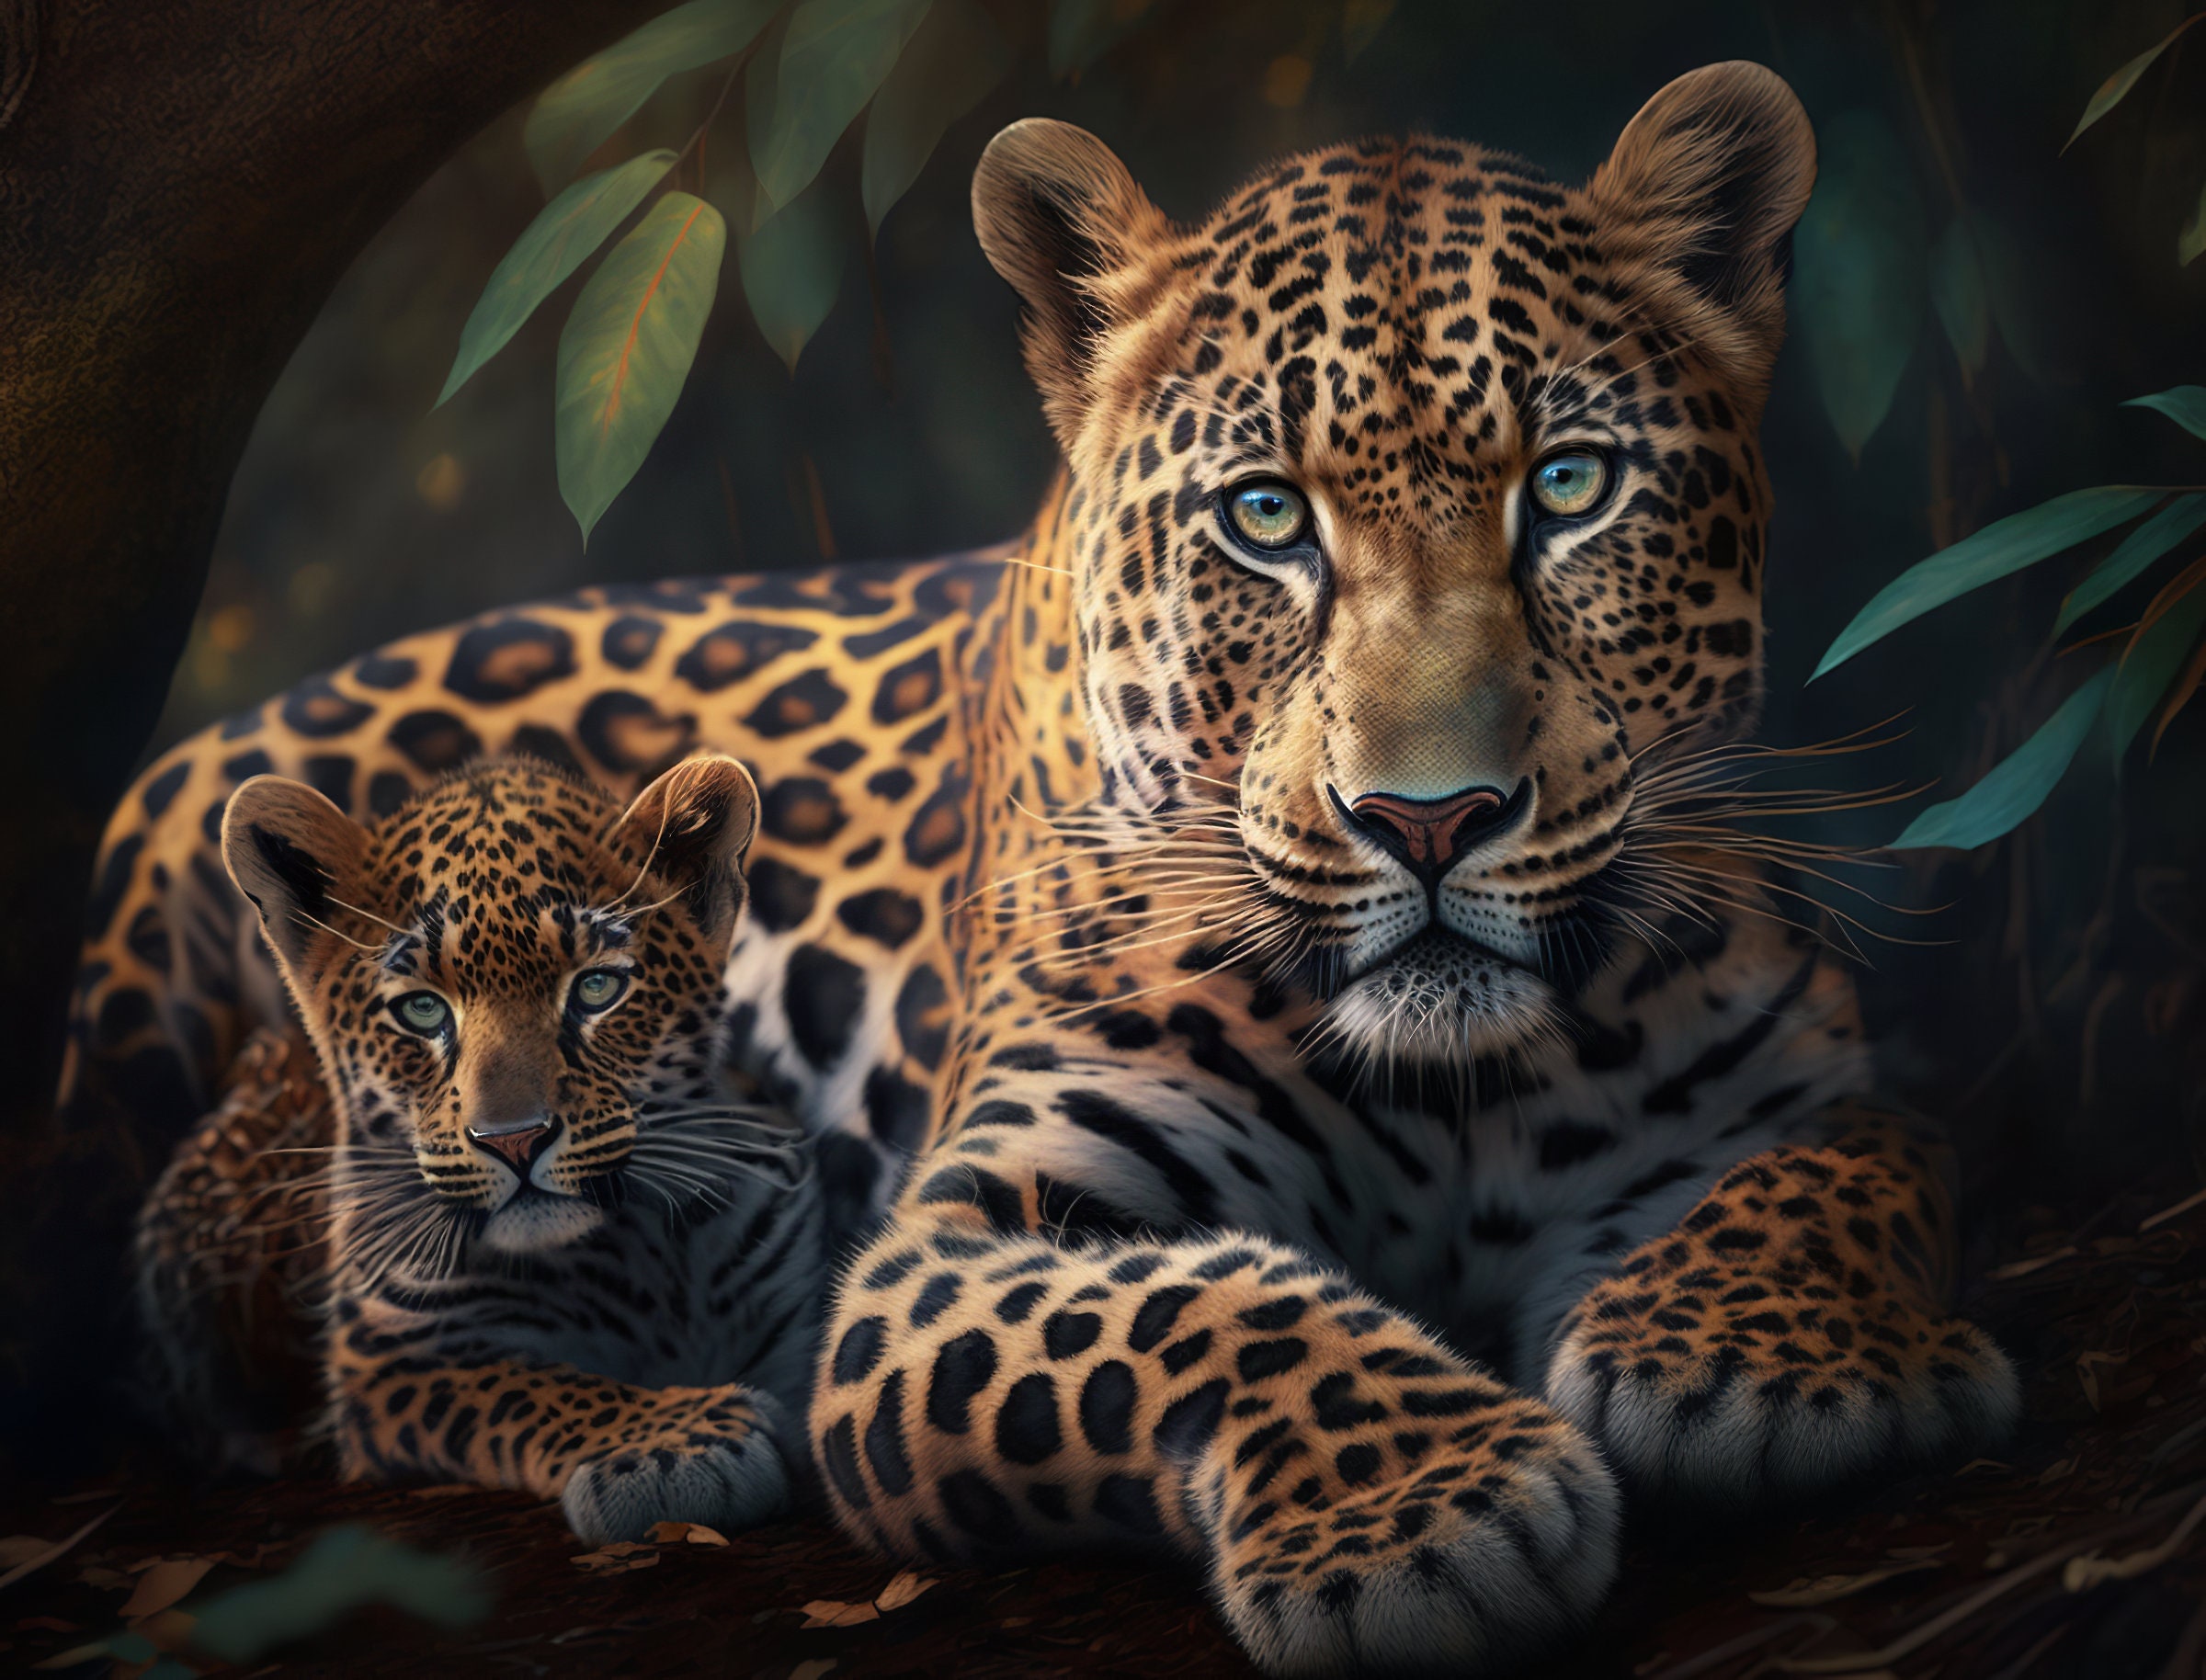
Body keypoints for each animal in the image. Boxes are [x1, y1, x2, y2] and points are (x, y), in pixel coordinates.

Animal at [134, 752, 824, 1544]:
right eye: (421, 1009)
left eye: (596, 989)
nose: (514, 1140)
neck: (641, 1257)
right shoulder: (391, 1359)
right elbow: (534, 1388)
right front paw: (676, 1448)